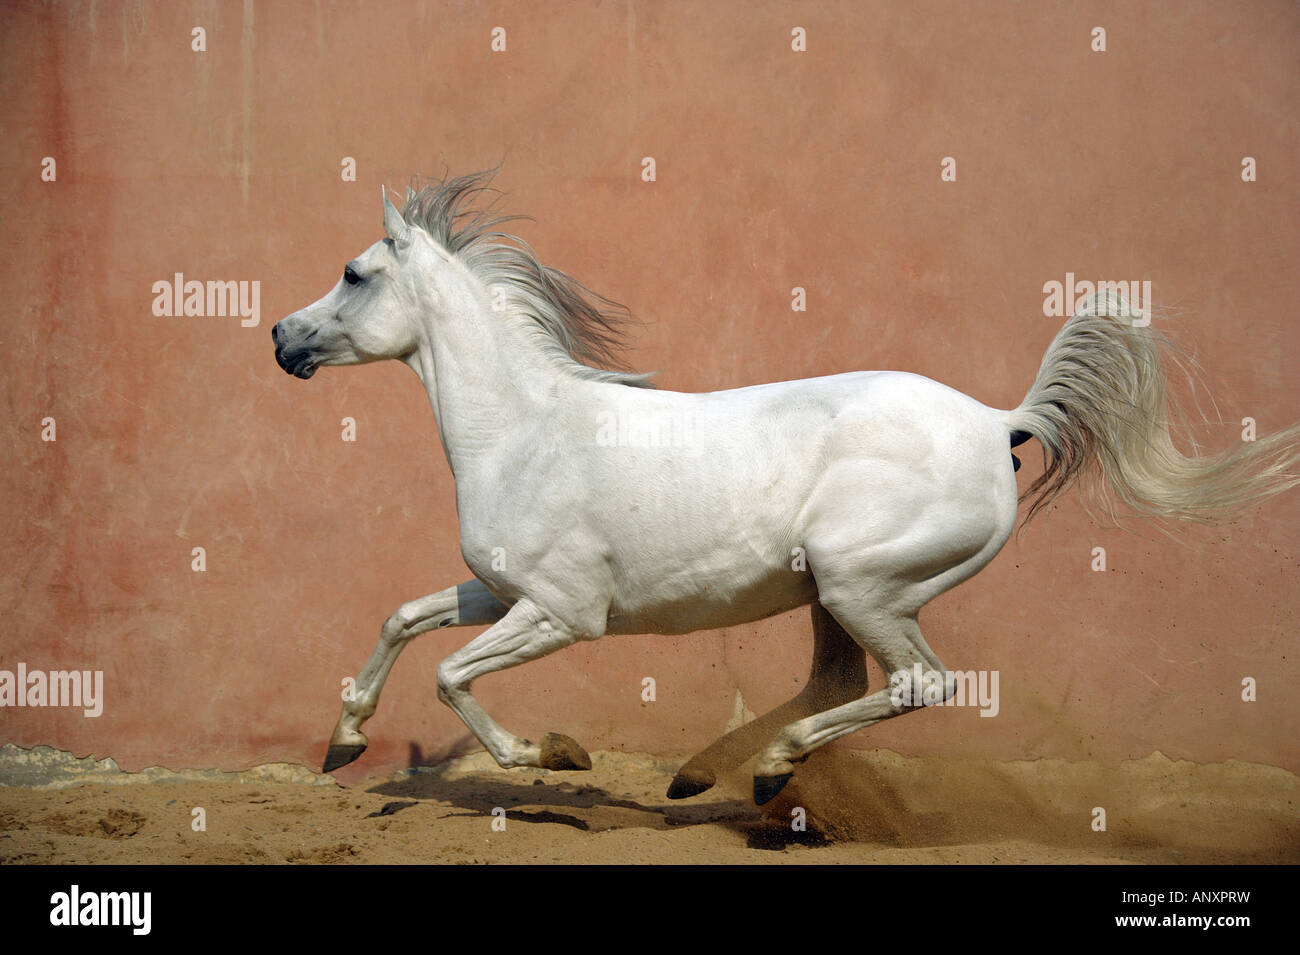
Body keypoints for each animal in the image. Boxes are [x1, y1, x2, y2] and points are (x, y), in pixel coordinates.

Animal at [271, 170, 1299, 804]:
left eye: (354, 273)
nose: (282, 337)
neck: (526, 430)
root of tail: (995, 420)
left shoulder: (562, 612)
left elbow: (449, 672)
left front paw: (547, 754)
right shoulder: (504, 590)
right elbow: (403, 619)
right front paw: (344, 740)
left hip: (860, 580)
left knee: (923, 683)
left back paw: (764, 767)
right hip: (832, 590)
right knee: (841, 679)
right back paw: (717, 773)